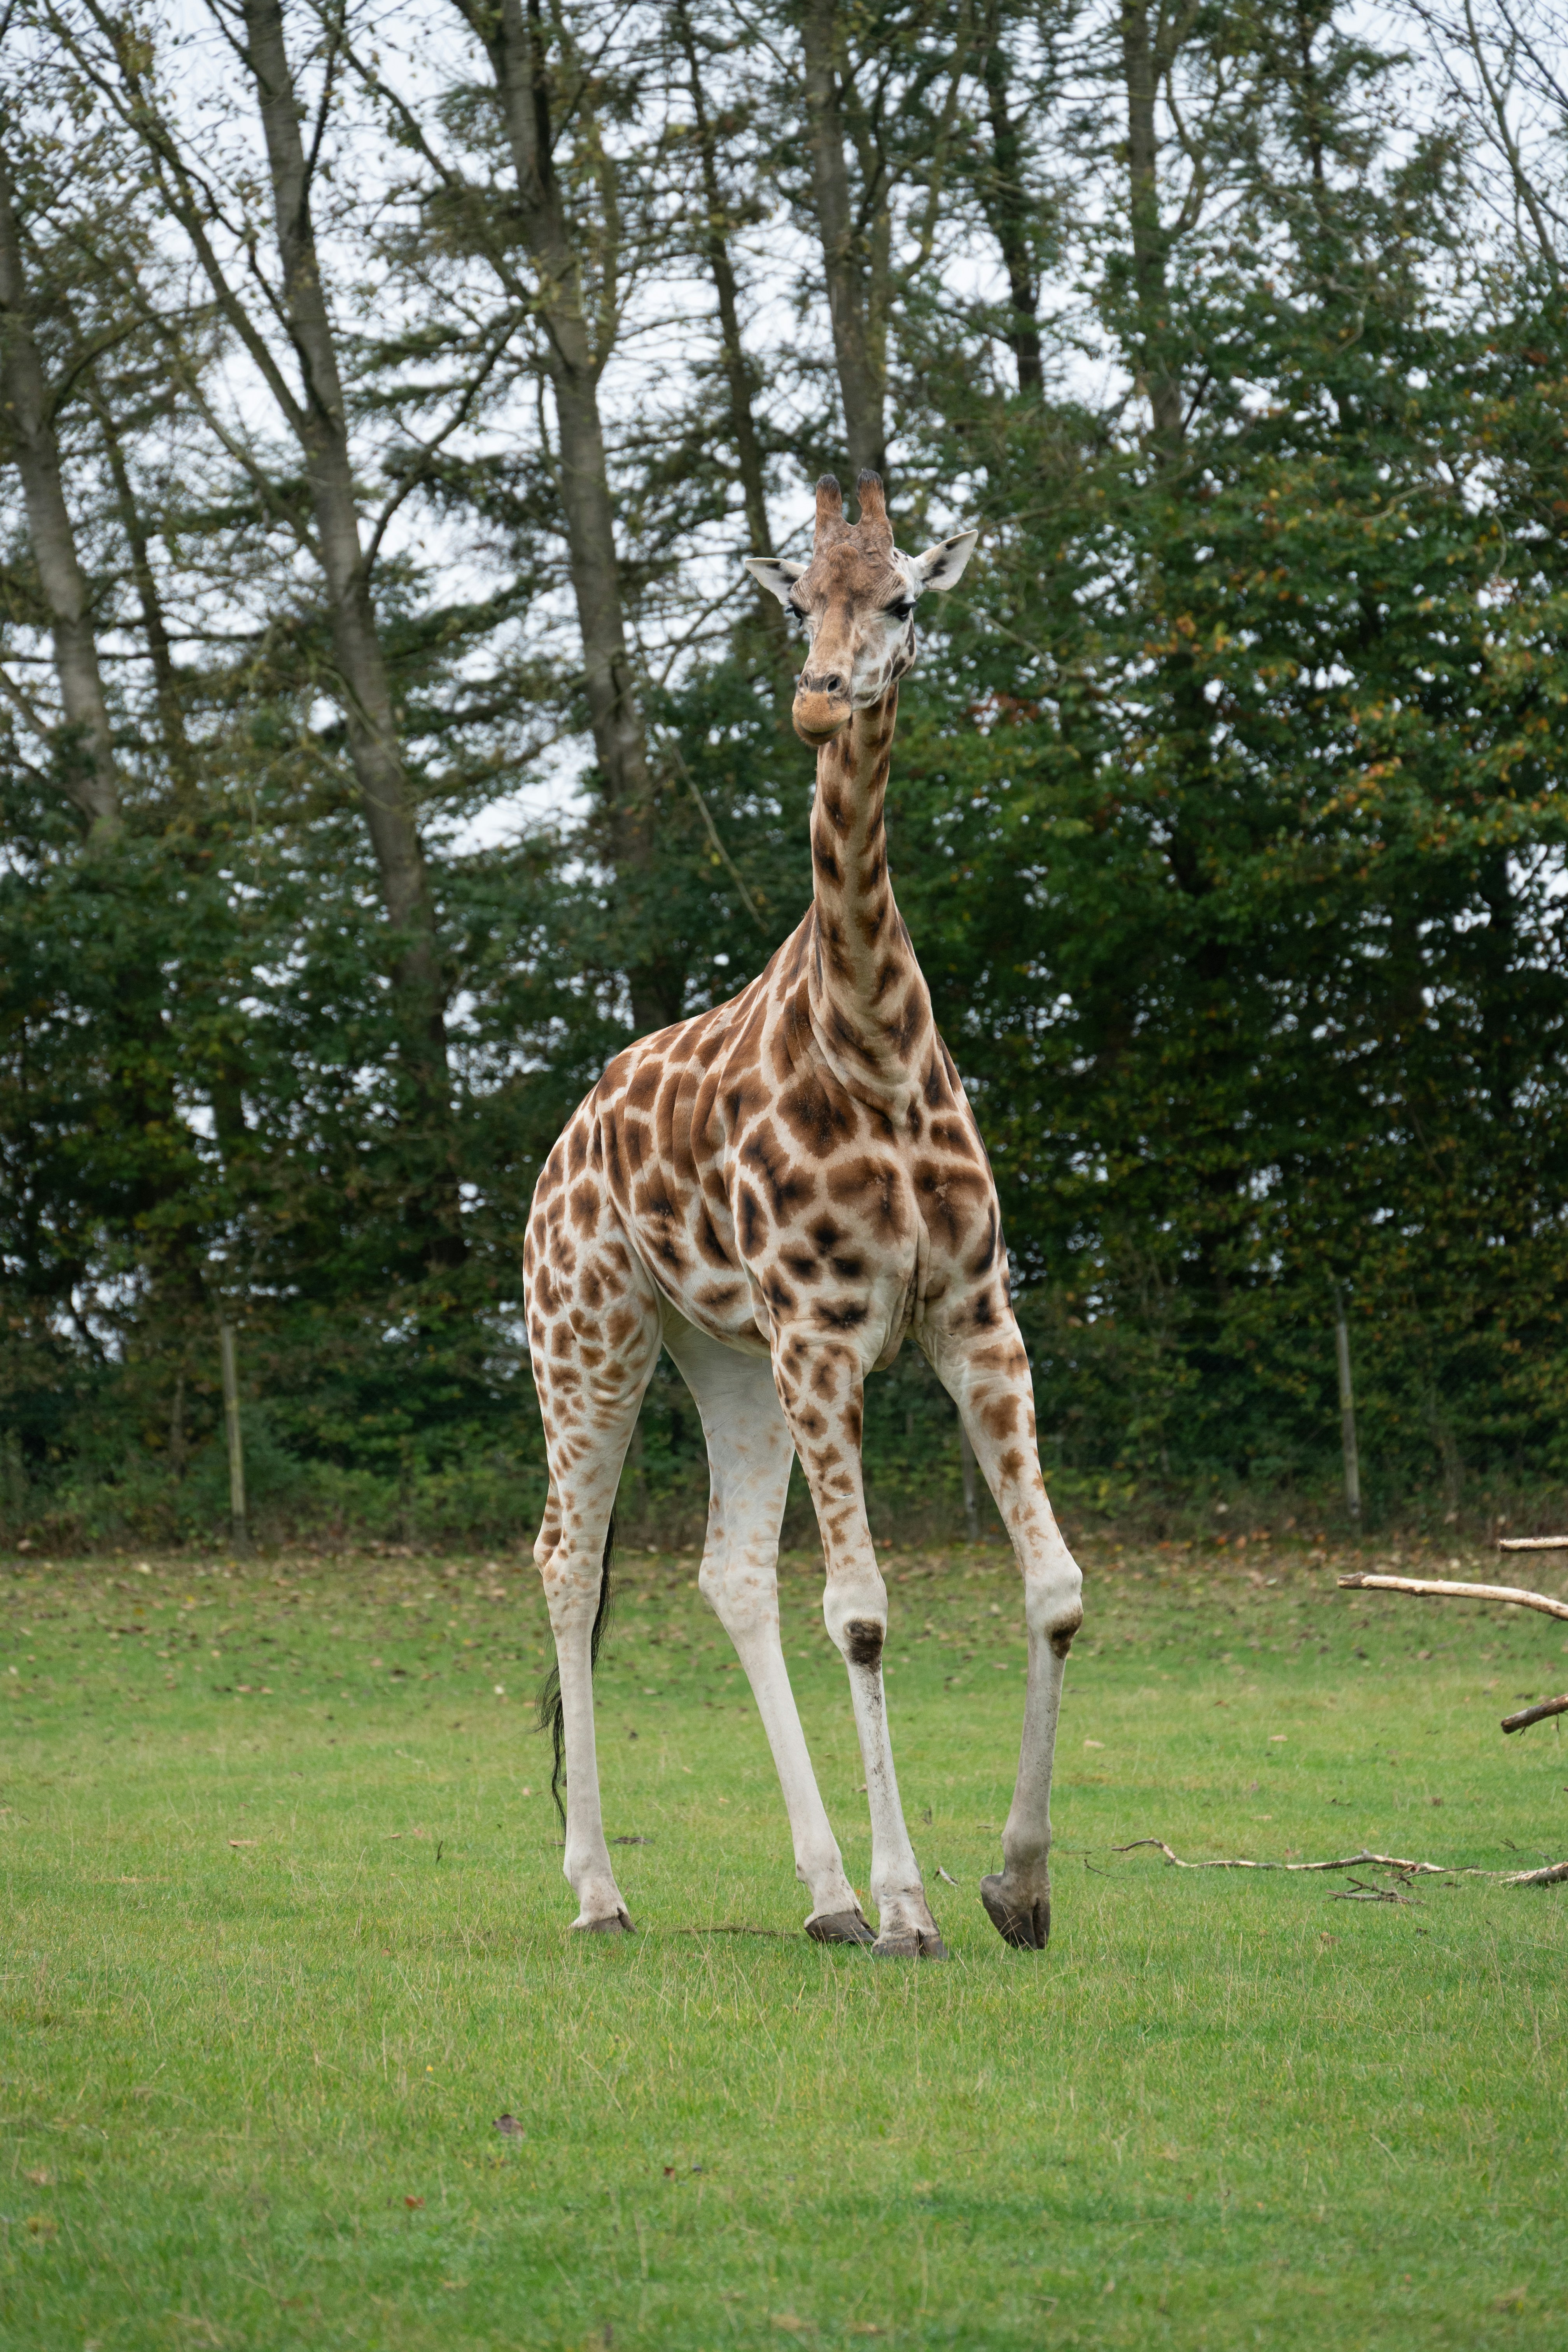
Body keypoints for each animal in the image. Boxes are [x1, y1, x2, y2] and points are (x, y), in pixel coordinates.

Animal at [522, 470, 1084, 1956]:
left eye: (901, 599)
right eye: (800, 606)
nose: (822, 696)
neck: (873, 1031)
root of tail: (565, 1137)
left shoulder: (973, 1320)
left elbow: (1054, 1589)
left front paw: (1016, 1886)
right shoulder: (830, 1337)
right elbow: (865, 1614)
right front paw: (912, 1908)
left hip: (729, 1357)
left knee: (726, 1572)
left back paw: (823, 1893)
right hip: (590, 1337)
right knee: (565, 1560)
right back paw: (598, 1891)